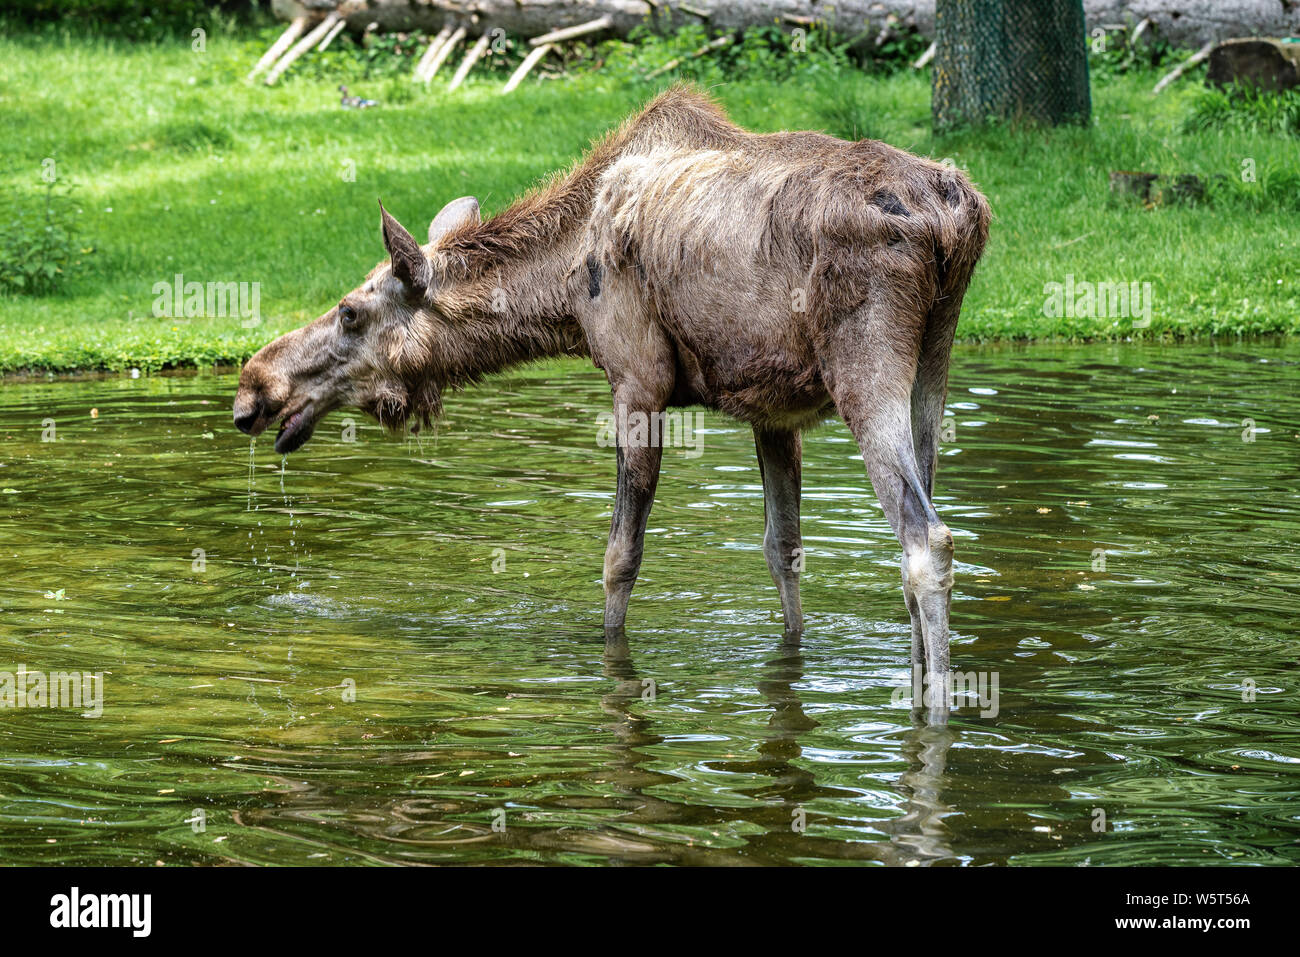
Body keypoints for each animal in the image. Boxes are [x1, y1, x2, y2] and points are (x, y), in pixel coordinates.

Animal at [232, 84, 990, 718]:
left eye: (350, 312)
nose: (253, 387)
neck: (563, 288)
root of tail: (959, 212)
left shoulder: (636, 380)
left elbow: (619, 555)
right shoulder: (772, 412)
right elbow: (784, 549)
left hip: (864, 363)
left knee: (927, 540)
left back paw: (936, 716)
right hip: (934, 365)